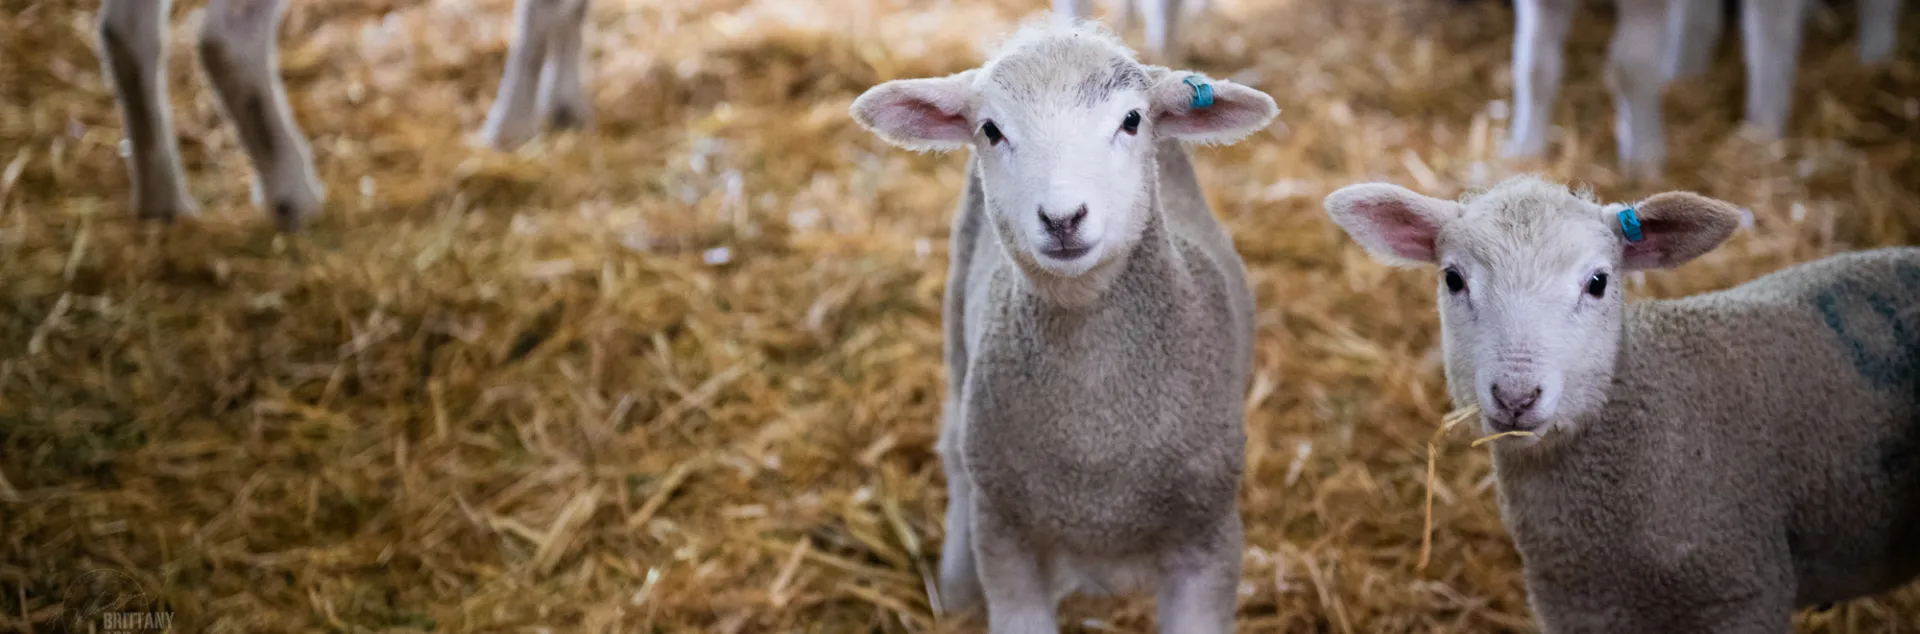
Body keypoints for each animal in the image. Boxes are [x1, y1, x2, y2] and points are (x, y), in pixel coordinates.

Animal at [97, 0, 591, 231]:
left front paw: (565, 103)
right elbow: (544, 12)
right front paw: (513, 128)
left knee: (123, 29)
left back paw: (161, 199)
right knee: (226, 38)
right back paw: (292, 192)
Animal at [849, 21, 1277, 632]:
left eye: (1132, 120)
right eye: (991, 129)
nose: (1062, 218)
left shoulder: (1208, 538)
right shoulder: (1006, 539)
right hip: (957, 334)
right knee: (954, 451)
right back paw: (955, 590)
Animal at [1504, 0, 1903, 177]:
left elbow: (1631, 69)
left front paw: (1643, 159)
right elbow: (1535, 66)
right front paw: (1525, 151)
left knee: (1772, 27)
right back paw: (1685, 71)